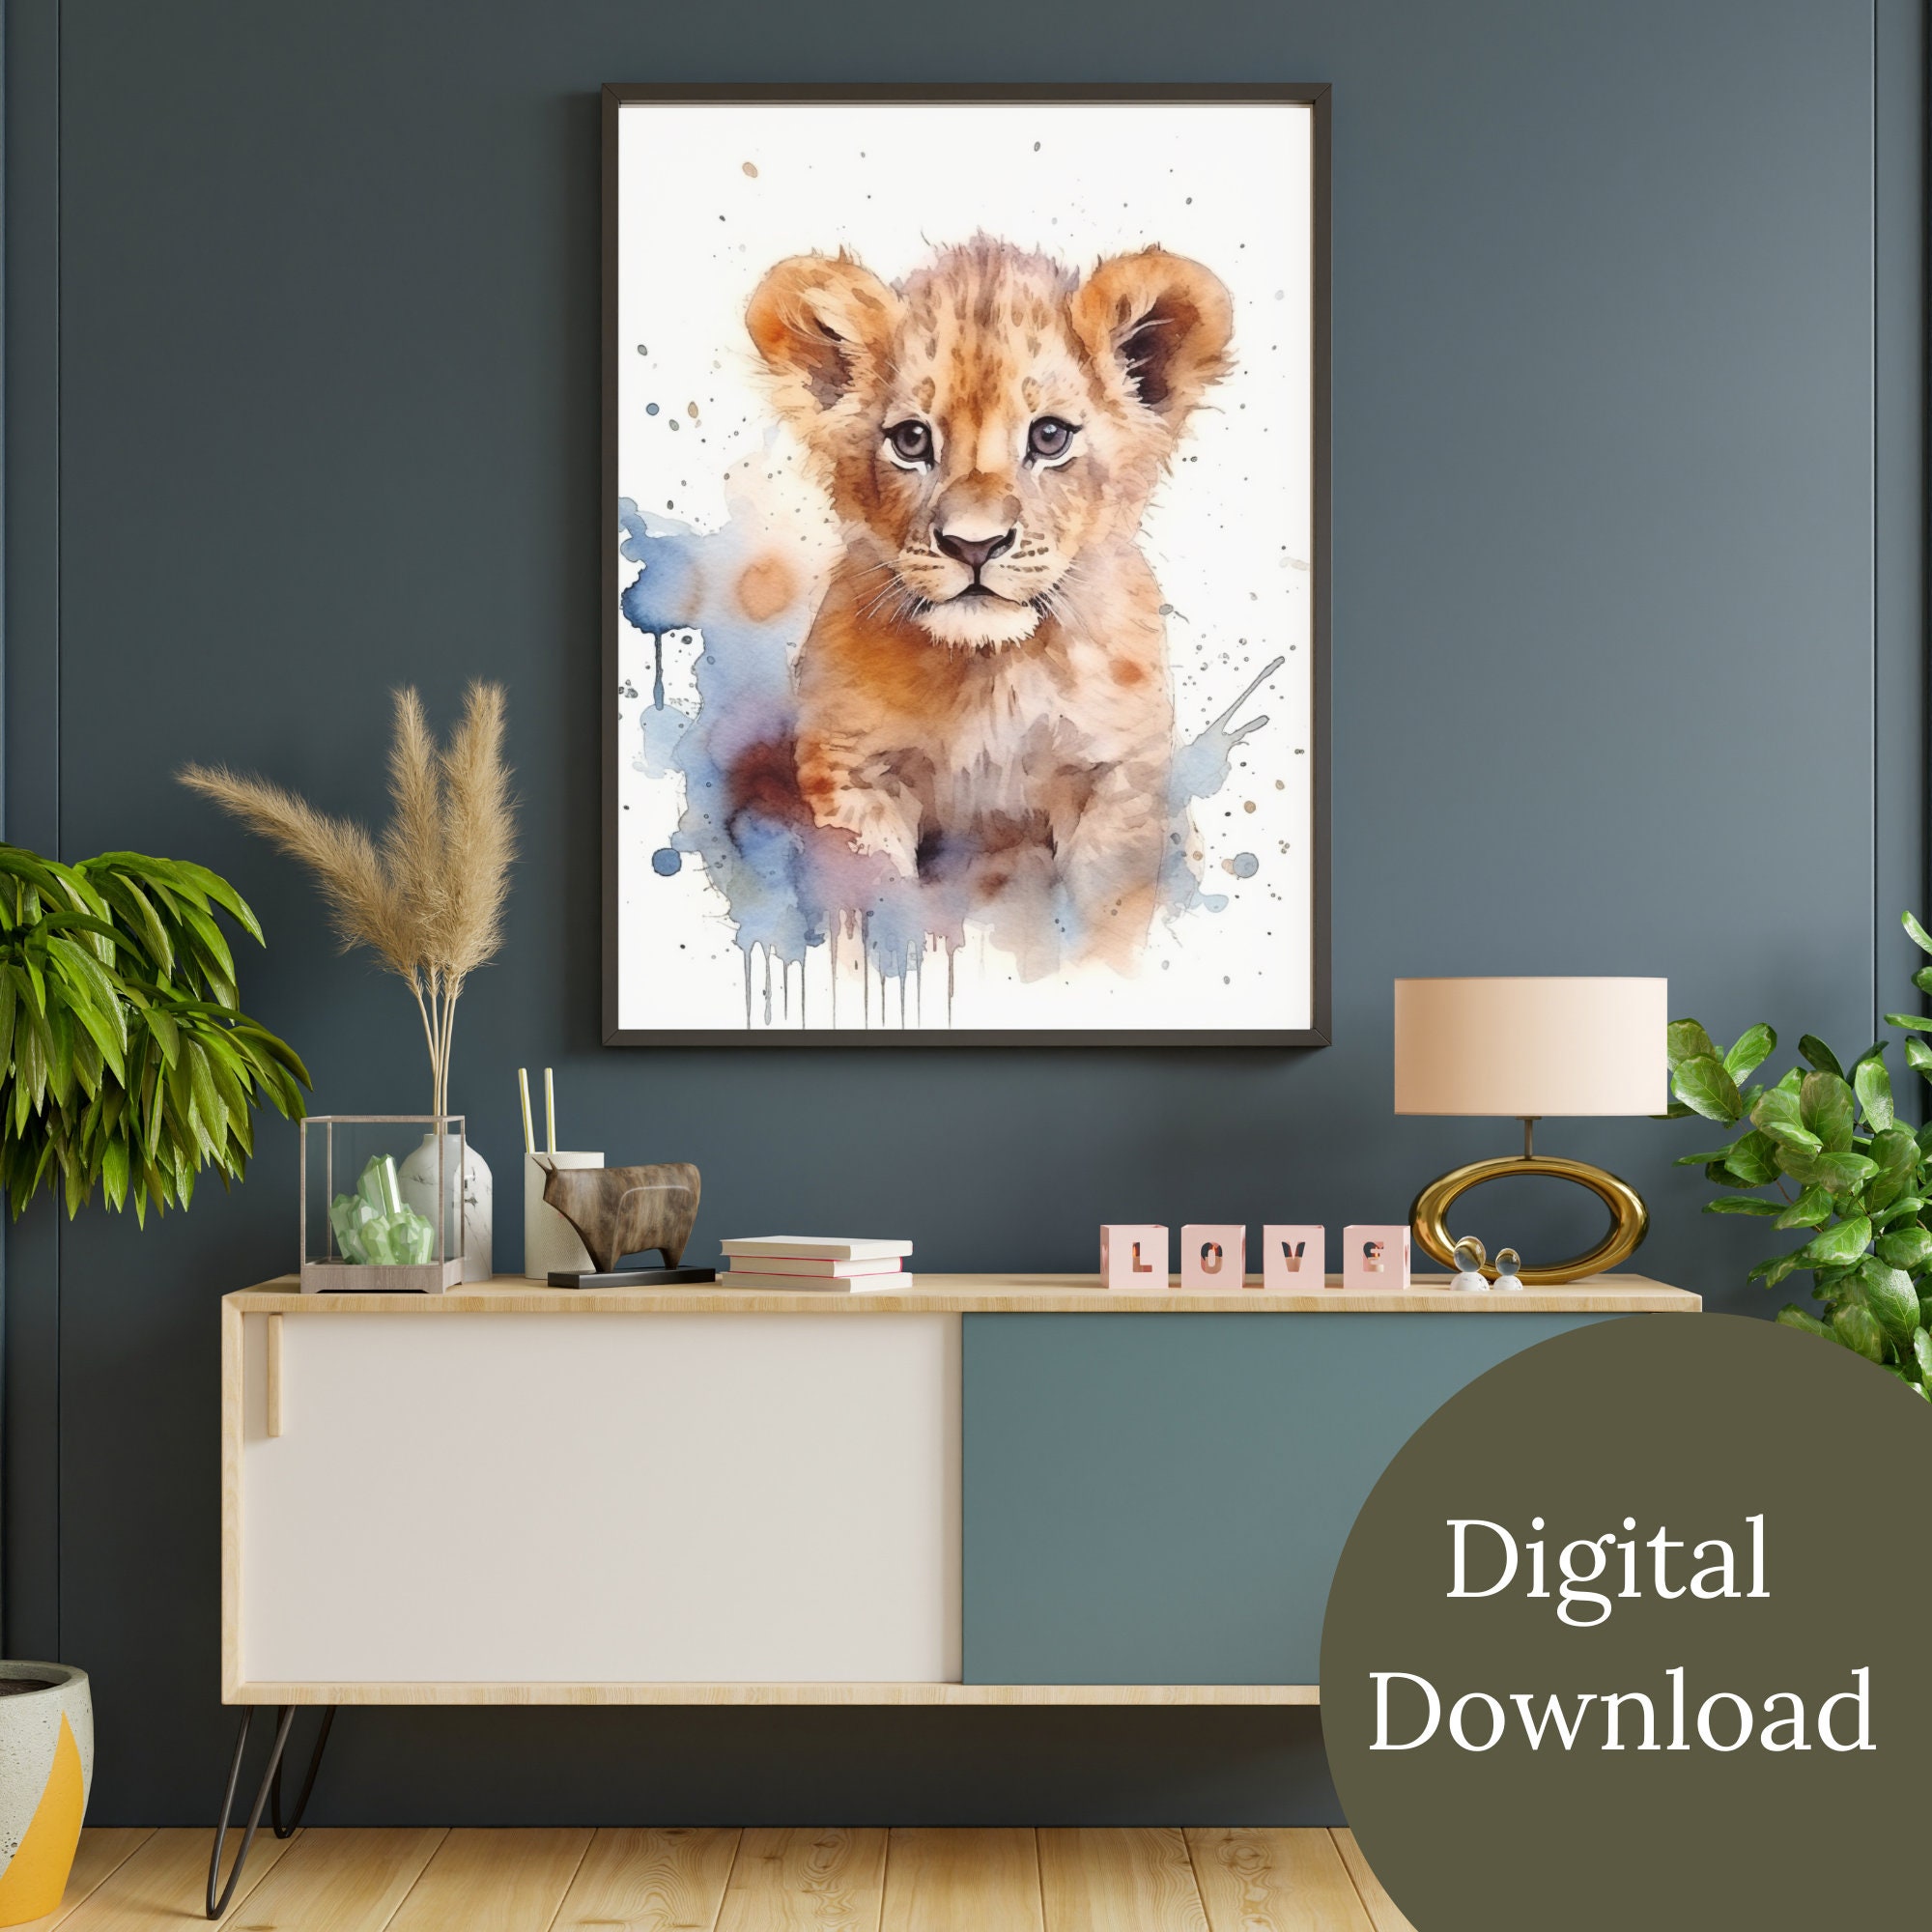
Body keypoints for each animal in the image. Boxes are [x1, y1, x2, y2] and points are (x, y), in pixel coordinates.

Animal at [745, 234, 1232, 971]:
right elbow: (866, 911)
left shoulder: (1113, 780)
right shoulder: (856, 776)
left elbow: (1108, 925)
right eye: (911, 440)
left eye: (1050, 437)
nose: (973, 545)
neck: (993, 671)